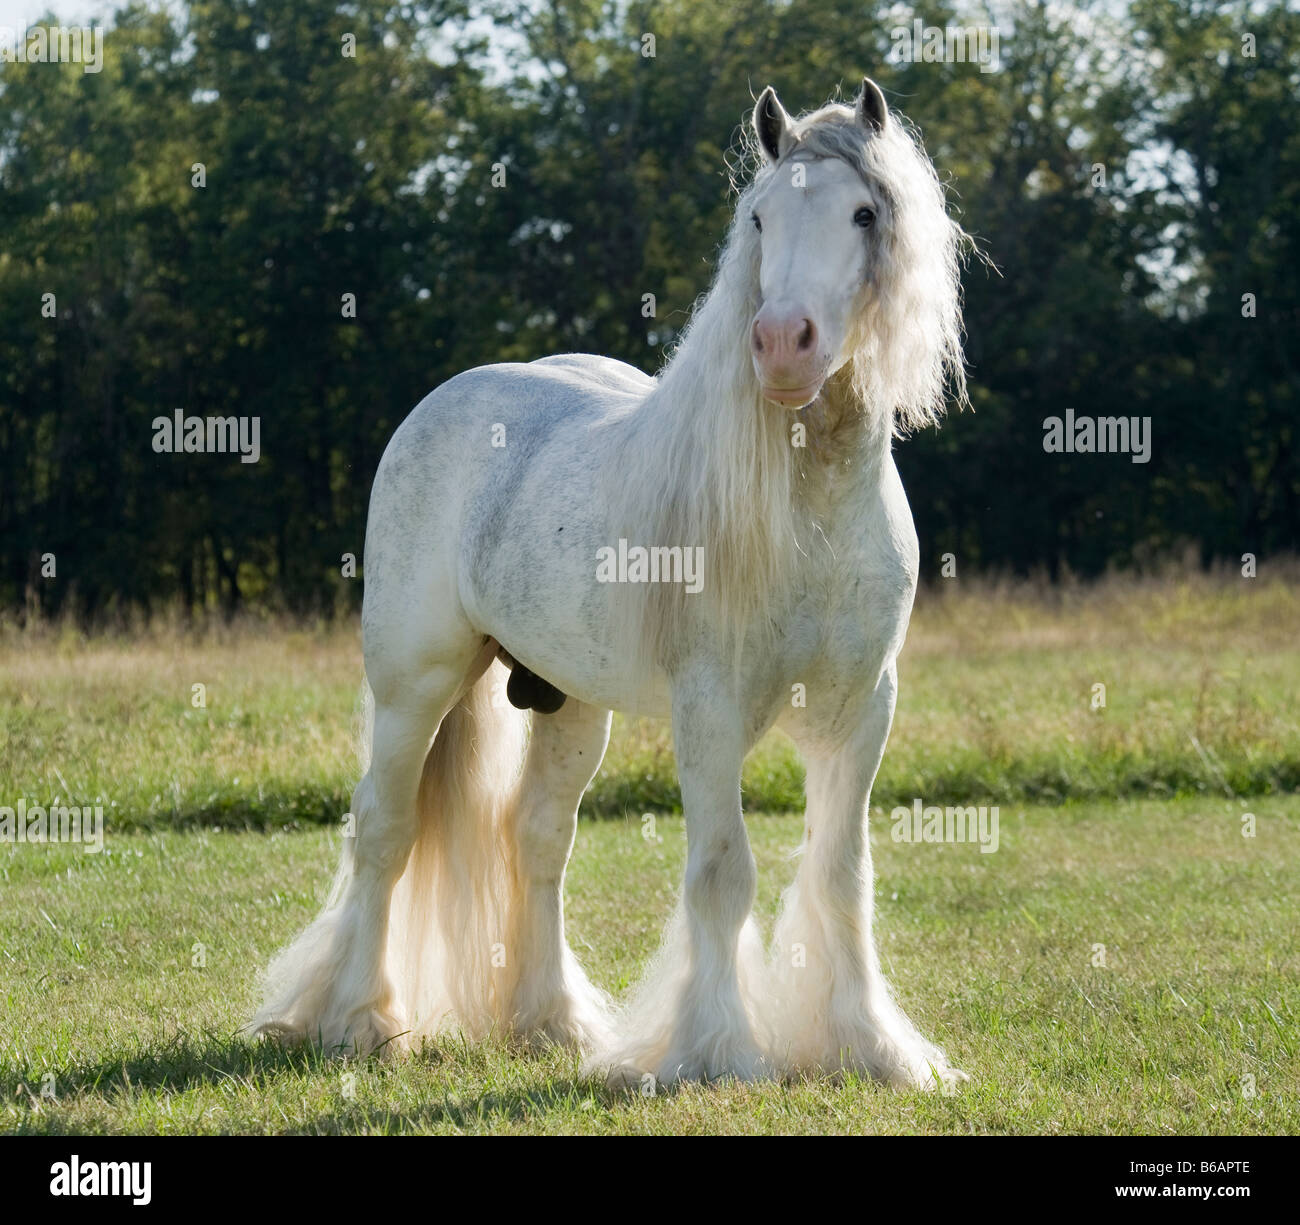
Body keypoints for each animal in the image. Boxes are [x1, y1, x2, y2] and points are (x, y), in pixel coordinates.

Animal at [251, 76, 970, 1090]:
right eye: (759, 216)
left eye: (865, 213)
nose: (781, 345)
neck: (813, 512)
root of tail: (449, 397)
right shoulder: (710, 709)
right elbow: (723, 871)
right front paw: (720, 1052)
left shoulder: (863, 707)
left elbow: (841, 875)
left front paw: (869, 1045)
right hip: (414, 684)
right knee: (383, 829)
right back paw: (358, 1019)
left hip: (568, 702)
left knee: (538, 838)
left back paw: (550, 1023)